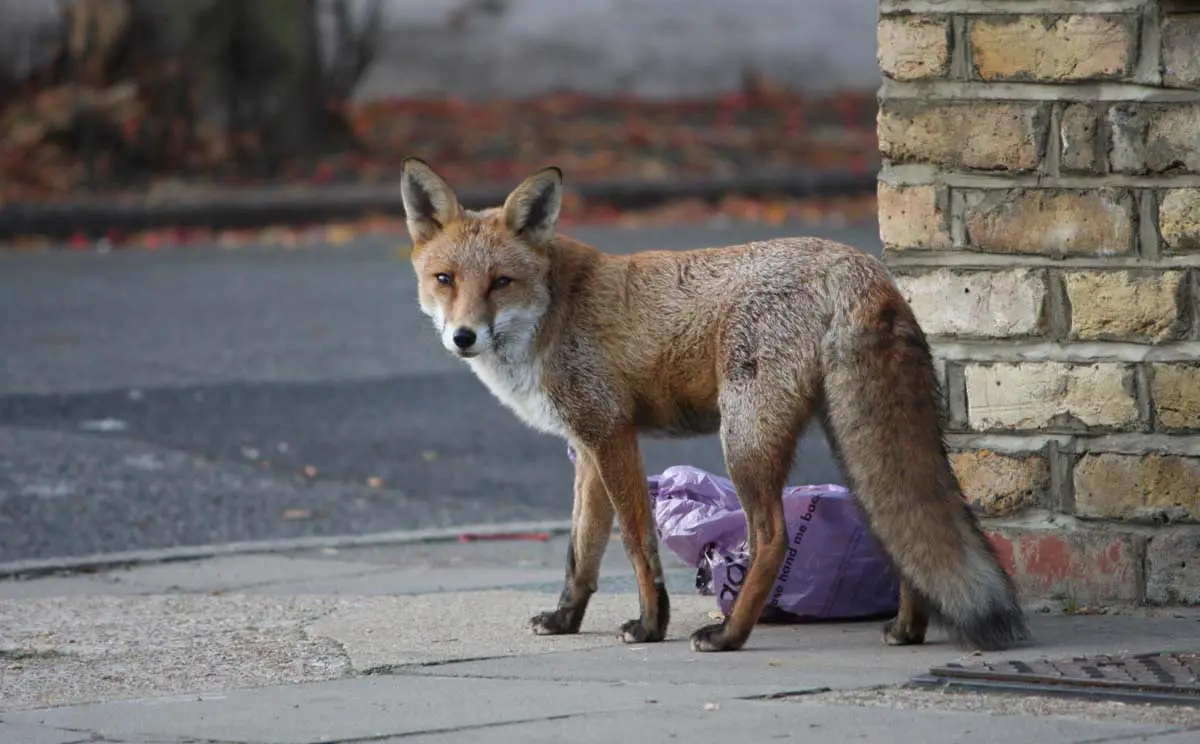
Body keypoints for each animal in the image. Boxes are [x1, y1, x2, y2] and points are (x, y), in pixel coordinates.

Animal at [399, 156, 1031, 653]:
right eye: (445, 279)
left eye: (500, 282)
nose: (463, 337)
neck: (553, 314)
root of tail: (859, 266)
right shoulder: (588, 444)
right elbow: (582, 552)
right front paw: (564, 620)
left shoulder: (611, 433)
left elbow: (636, 543)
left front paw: (651, 625)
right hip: (849, 441)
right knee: (896, 526)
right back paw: (907, 629)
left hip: (745, 438)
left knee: (773, 538)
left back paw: (730, 635)